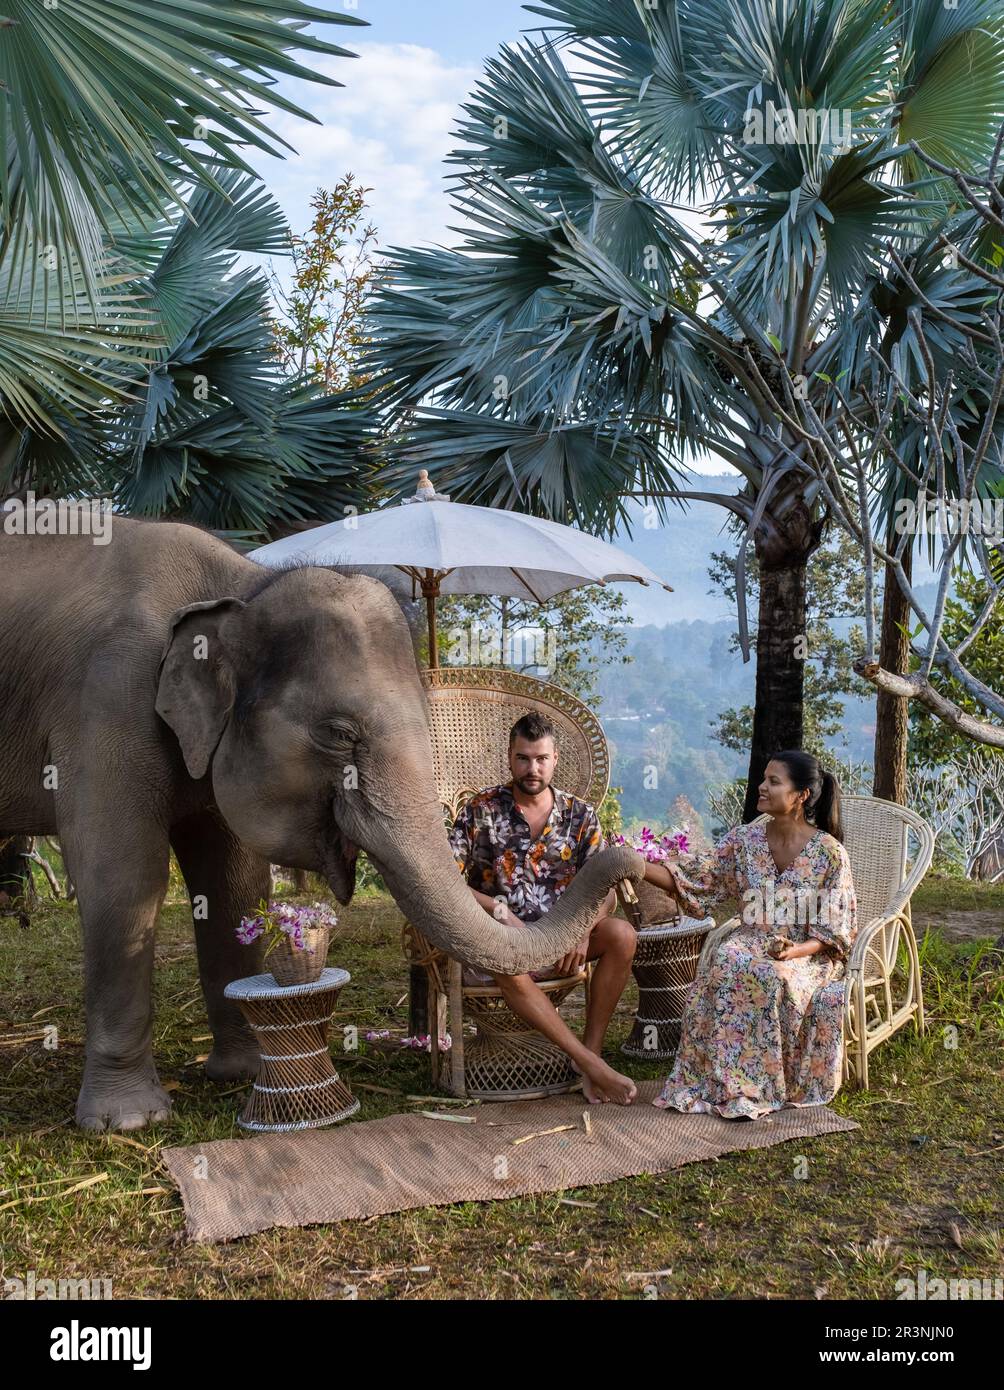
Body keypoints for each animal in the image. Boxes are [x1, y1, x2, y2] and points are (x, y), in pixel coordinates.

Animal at [0, 516, 642, 1130]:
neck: (240, 589)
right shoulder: (105, 701)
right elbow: (125, 878)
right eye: (337, 734)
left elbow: (234, 882)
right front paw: (129, 1119)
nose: (631, 861)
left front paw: (243, 1072)